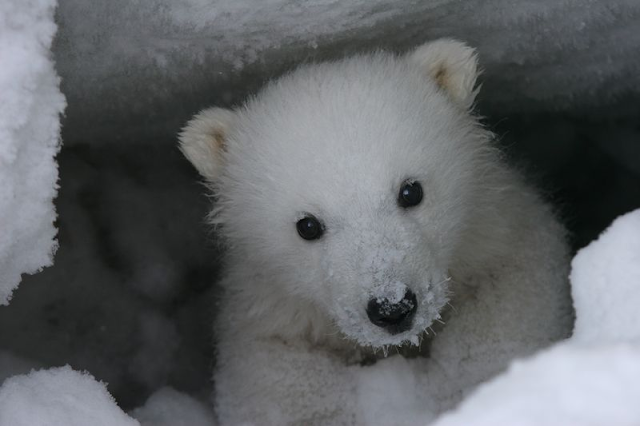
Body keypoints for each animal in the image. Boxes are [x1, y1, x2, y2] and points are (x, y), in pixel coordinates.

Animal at [179, 39, 573, 425]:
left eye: (411, 190)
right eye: (307, 225)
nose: (392, 307)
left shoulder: (498, 234)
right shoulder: (266, 308)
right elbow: (277, 381)